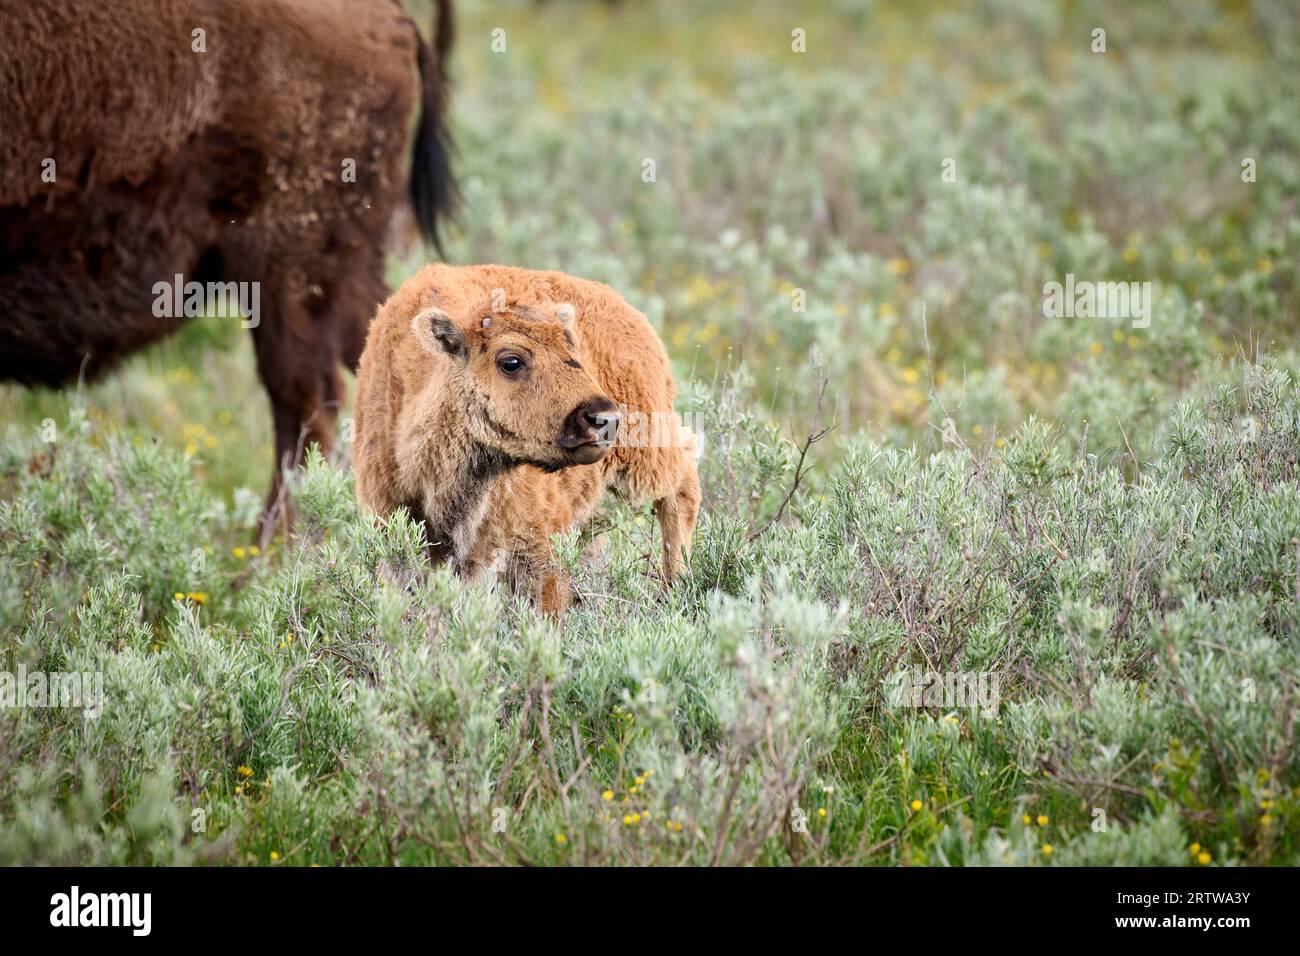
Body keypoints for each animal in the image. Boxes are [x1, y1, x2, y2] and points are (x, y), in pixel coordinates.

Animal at [353, 264, 701, 615]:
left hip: (646, 454)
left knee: (682, 486)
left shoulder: (538, 541)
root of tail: (630, 313)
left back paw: (675, 587)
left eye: (572, 349)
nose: (605, 419)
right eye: (511, 362)